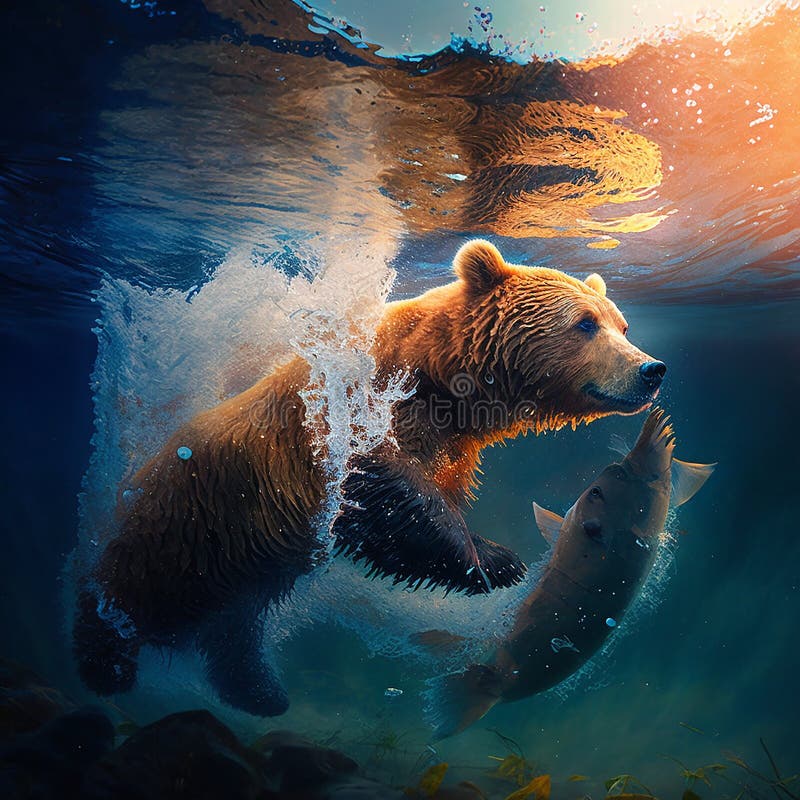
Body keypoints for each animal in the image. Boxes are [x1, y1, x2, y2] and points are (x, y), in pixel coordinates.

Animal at [73, 240, 666, 717]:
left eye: (622, 324)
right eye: (585, 323)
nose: (652, 369)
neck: (441, 379)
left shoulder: (447, 447)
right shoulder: (354, 415)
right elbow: (386, 494)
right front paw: (497, 560)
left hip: (231, 571)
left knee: (233, 636)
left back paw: (262, 693)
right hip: (180, 529)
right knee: (120, 601)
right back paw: (106, 666)